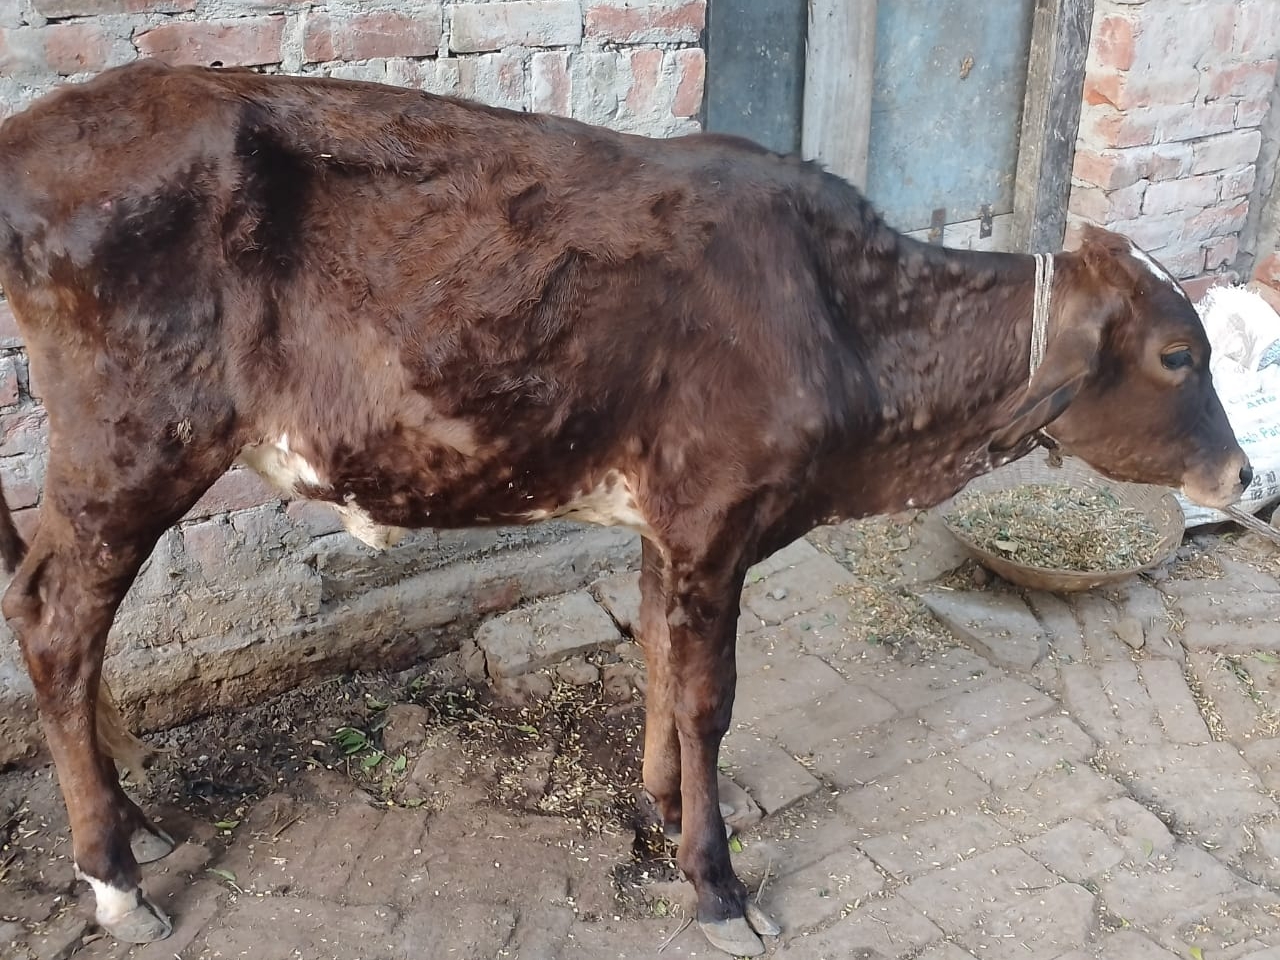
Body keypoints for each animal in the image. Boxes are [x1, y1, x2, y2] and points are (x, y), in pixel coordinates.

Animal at [0, 60, 1249, 957]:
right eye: (1175, 354)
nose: (1239, 477)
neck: (846, 320)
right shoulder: (715, 516)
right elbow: (707, 697)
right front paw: (714, 881)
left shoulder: (670, 520)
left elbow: (654, 654)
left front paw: (656, 805)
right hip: (131, 444)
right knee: (57, 620)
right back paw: (114, 879)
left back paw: (134, 820)